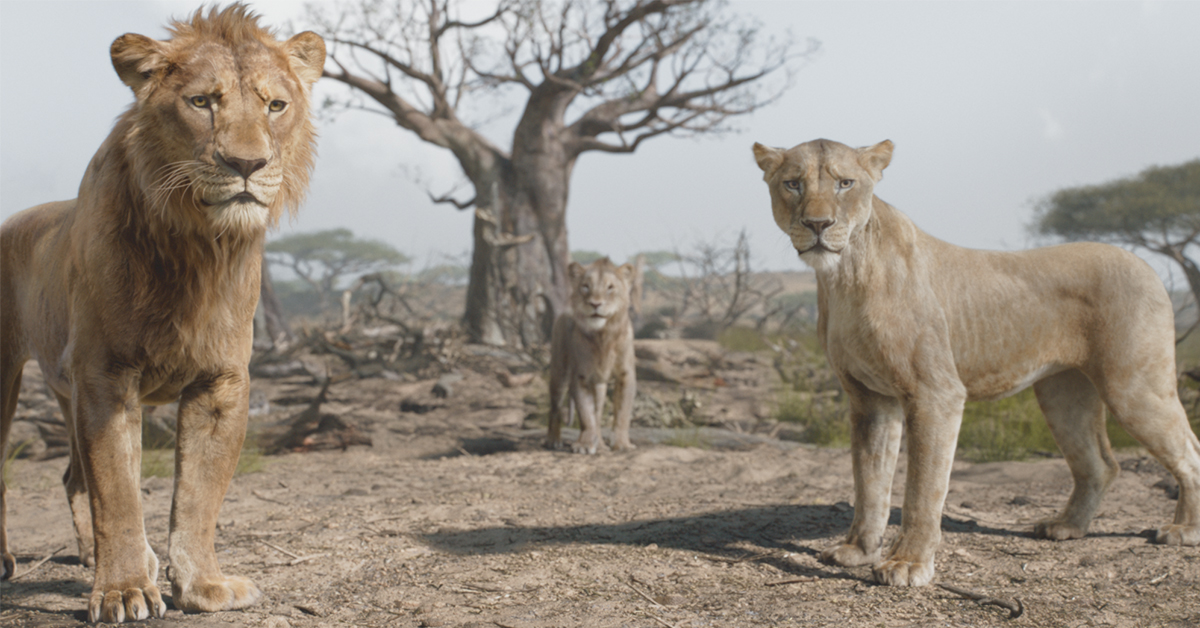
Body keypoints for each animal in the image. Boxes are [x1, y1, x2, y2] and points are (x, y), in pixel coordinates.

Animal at [0, 5, 324, 622]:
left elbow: (198, 497)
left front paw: (203, 587)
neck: (196, 246)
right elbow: (119, 493)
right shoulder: (105, 375)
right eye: (201, 102)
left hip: (63, 388)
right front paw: (124, 590)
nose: (246, 164)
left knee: (72, 475)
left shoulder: (222, 381)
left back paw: (88, 557)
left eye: (275, 105)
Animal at [546, 258, 638, 454]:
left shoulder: (625, 375)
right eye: (585, 287)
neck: (602, 336)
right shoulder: (580, 376)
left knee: (598, 412)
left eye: (610, 287)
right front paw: (584, 444)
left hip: (600, 386)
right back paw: (553, 440)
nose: (595, 304)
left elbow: (622, 413)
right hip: (559, 373)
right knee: (555, 408)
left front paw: (622, 444)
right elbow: (586, 414)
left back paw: (601, 445)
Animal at [752, 138, 1200, 587]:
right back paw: (1066, 527)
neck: (843, 275)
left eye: (845, 183)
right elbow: (869, 483)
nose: (817, 224)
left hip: (1134, 387)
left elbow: (922, 489)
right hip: (1063, 394)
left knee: (1189, 452)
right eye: (793, 184)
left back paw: (1184, 530)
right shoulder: (869, 399)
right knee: (1100, 464)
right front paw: (858, 551)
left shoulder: (936, 393)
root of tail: (1145, 264)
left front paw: (907, 564)